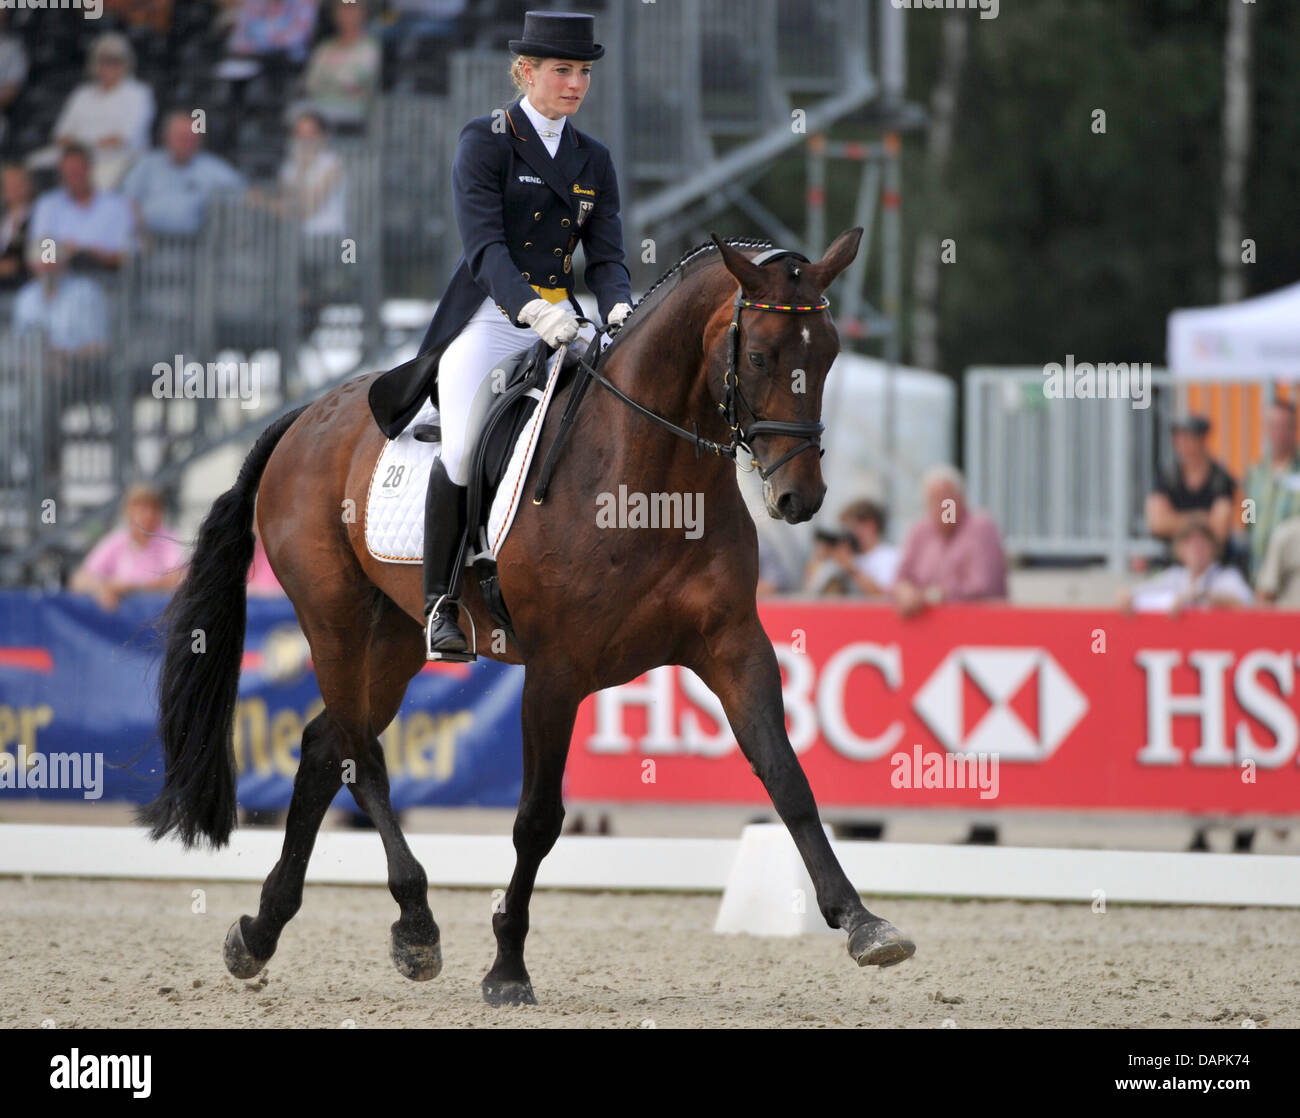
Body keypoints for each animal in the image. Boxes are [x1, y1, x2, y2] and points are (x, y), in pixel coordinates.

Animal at [140, 229, 917, 1006]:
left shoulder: (732, 645)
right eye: (758, 356)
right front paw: (507, 966)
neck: (652, 476)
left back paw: (261, 931)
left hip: (393, 643)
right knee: (361, 756)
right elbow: (537, 821)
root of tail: (306, 416)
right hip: (335, 623)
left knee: (323, 747)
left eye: (830, 353)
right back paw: (415, 924)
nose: (799, 499)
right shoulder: (555, 672)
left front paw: (864, 924)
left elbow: (788, 780)